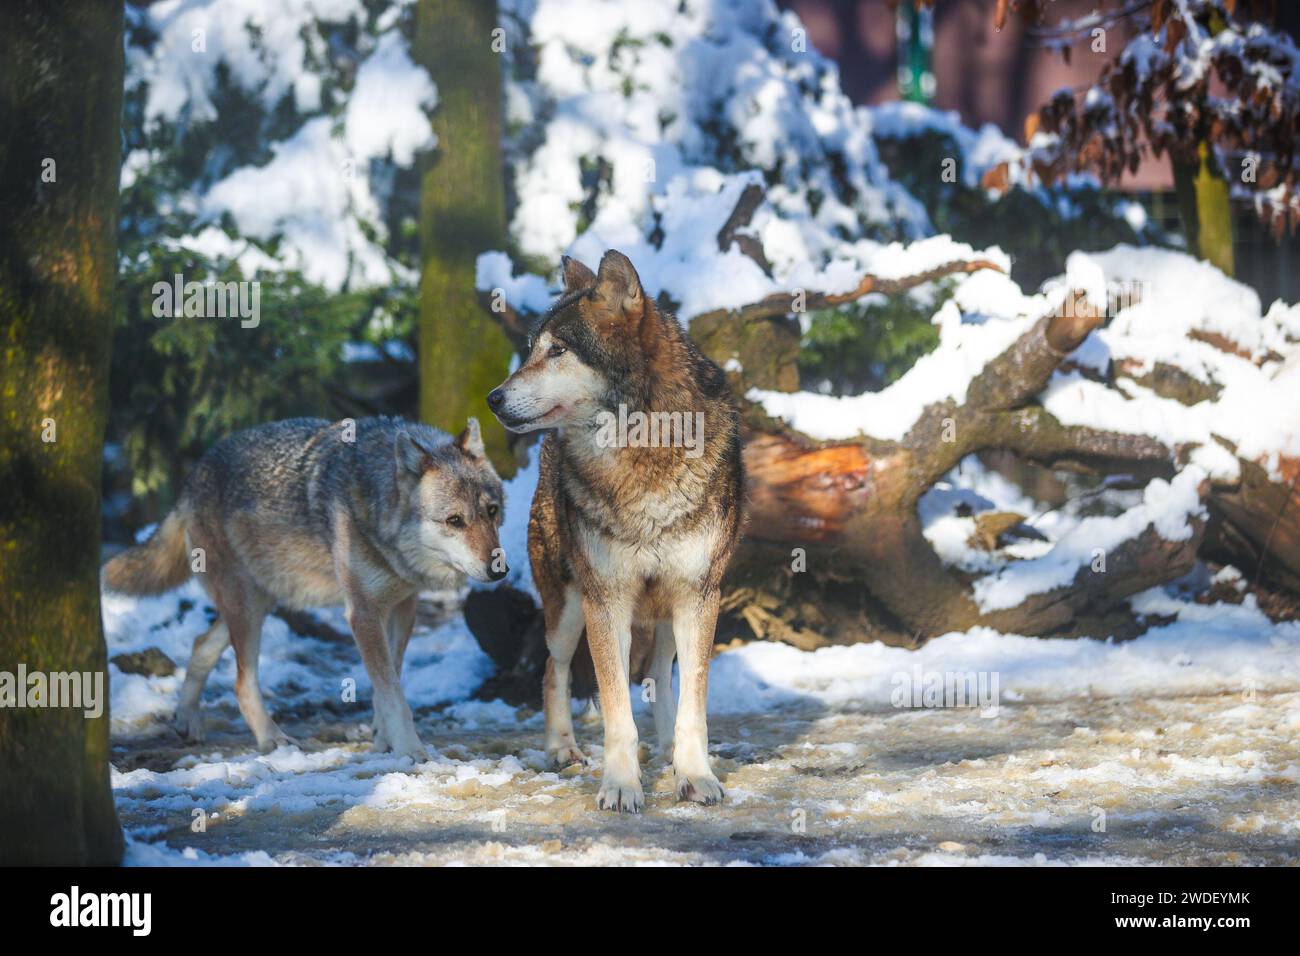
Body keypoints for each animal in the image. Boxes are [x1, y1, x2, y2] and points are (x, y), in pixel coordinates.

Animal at [102, 416, 506, 760]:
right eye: (455, 520)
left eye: (492, 511)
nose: (499, 570)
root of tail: (194, 474)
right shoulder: (362, 612)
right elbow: (392, 692)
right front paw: (410, 751)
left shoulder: (402, 608)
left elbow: (388, 682)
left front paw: (382, 739)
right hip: (246, 607)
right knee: (242, 682)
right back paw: (271, 739)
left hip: (260, 602)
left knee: (201, 644)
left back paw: (187, 721)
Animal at [487, 250, 744, 812]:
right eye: (531, 350)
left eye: (558, 351)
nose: (493, 398)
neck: (641, 451)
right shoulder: (607, 599)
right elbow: (615, 711)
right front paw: (622, 785)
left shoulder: (699, 594)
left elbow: (692, 703)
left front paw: (695, 774)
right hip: (568, 608)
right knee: (552, 670)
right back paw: (562, 749)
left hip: (665, 610)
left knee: (660, 676)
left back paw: (669, 754)